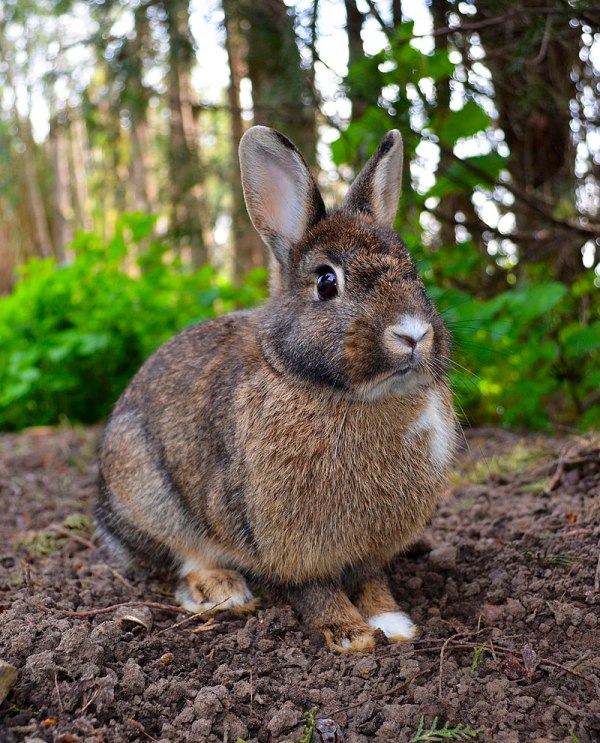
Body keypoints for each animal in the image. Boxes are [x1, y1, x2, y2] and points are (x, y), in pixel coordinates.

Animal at [96, 125, 458, 652]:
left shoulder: (371, 551)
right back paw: (221, 590)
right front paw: (349, 633)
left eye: (415, 273)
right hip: (146, 491)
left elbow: (370, 580)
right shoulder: (287, 543)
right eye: (326, 282)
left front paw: (392, 622)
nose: (412, 333)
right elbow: (314, 588)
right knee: (181, 558)